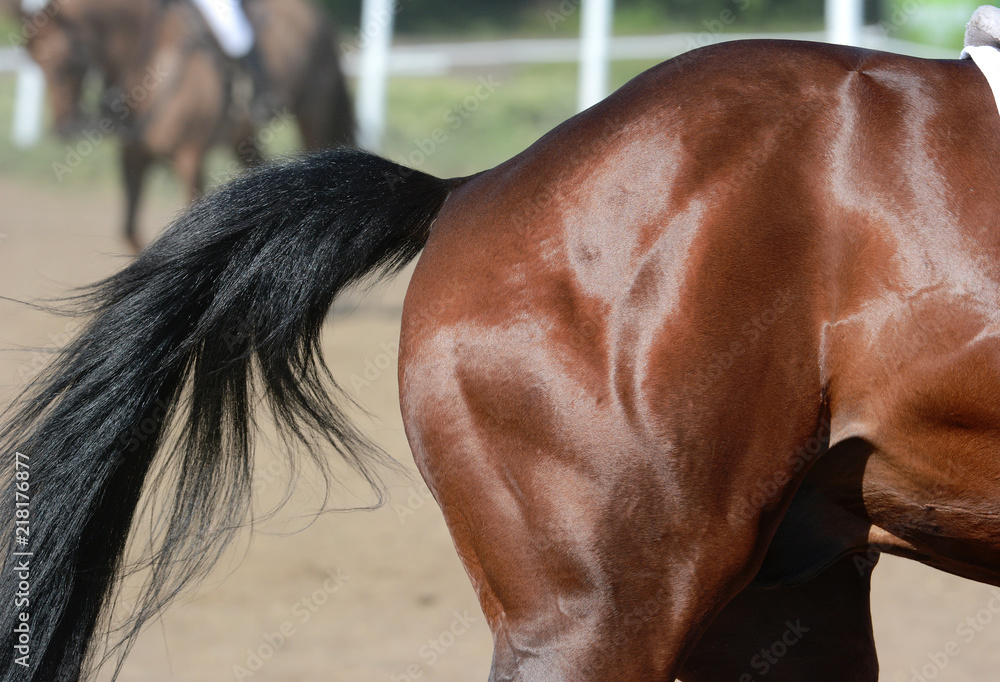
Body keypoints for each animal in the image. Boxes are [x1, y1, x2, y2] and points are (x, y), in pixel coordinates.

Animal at [21, 0, 354, 252]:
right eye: (35, 64)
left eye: (66, 64)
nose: (63, 128)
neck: (150, 57)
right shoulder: (133, 157)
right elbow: (129, 230)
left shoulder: (190, 156)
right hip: (242, 137)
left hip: (314, 116)